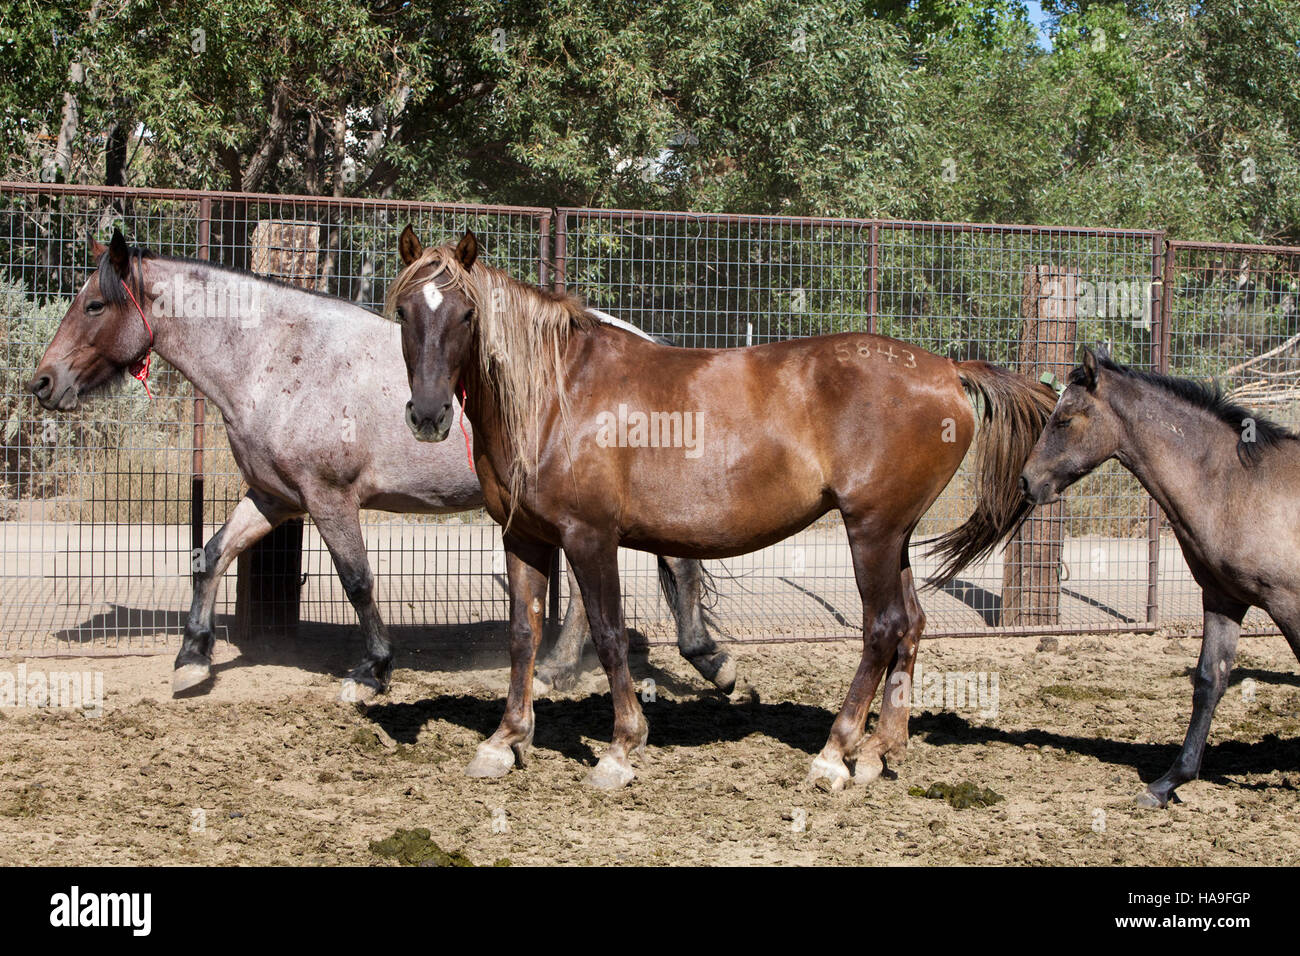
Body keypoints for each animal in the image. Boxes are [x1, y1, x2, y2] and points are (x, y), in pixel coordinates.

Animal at [25, 228, 736, 702]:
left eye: (93, 305)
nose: (41, 382)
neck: (275, 356)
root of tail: (649, 347)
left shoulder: (328, 499)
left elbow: (358, 580)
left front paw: (372, 671)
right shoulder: (274, 498)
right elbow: (210, 557)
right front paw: (191, 659)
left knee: (674, 566)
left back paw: (709, 661)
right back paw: (561, 670)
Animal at [390, 226, 1056, 789]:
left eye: (467, 313)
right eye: (403, 310)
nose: (427, 414)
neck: (558, 394)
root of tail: (948, 370)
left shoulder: (590, 536)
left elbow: (608, 634)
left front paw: (620, 748)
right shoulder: (524, 536)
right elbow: (523, 633)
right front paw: (504, 740)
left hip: (872, 529)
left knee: (883, 627)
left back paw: (835, 753)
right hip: (896, 535)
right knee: (912, 624)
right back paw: (879, 751)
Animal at [1021, 346, 1300, 808]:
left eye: (1065, 419)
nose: (1028, 481)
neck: (1237, 486)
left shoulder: (1287, 603)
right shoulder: (1223, 598)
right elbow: (1209, 681)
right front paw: (1169, 783)